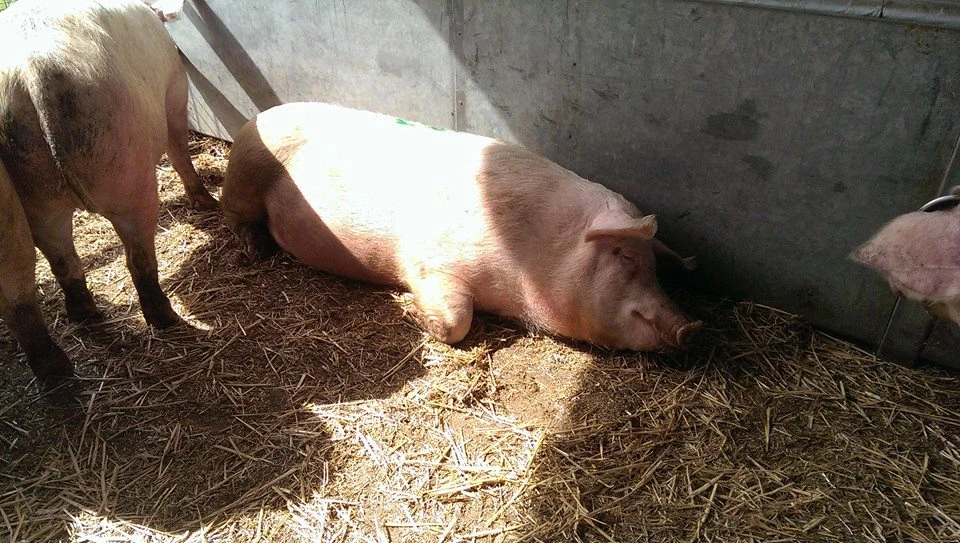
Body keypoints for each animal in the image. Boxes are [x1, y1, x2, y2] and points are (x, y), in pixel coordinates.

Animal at [0, 0, 218, 381]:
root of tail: (31, 72)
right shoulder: (174, 90)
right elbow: (178, 147)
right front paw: (205, 203)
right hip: (126, 169)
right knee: (138, 257)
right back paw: (166, 320)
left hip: (31, 193)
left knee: (45, 268)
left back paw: (68, 347)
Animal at [221, 102, 700, 351]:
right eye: (624, 255)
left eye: (656, 267)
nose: (690, 326)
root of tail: (259, 114)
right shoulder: (429, 261)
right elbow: (457, 320)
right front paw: (409, 311)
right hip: (244, 173)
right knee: (234, 215)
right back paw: (253, 251)